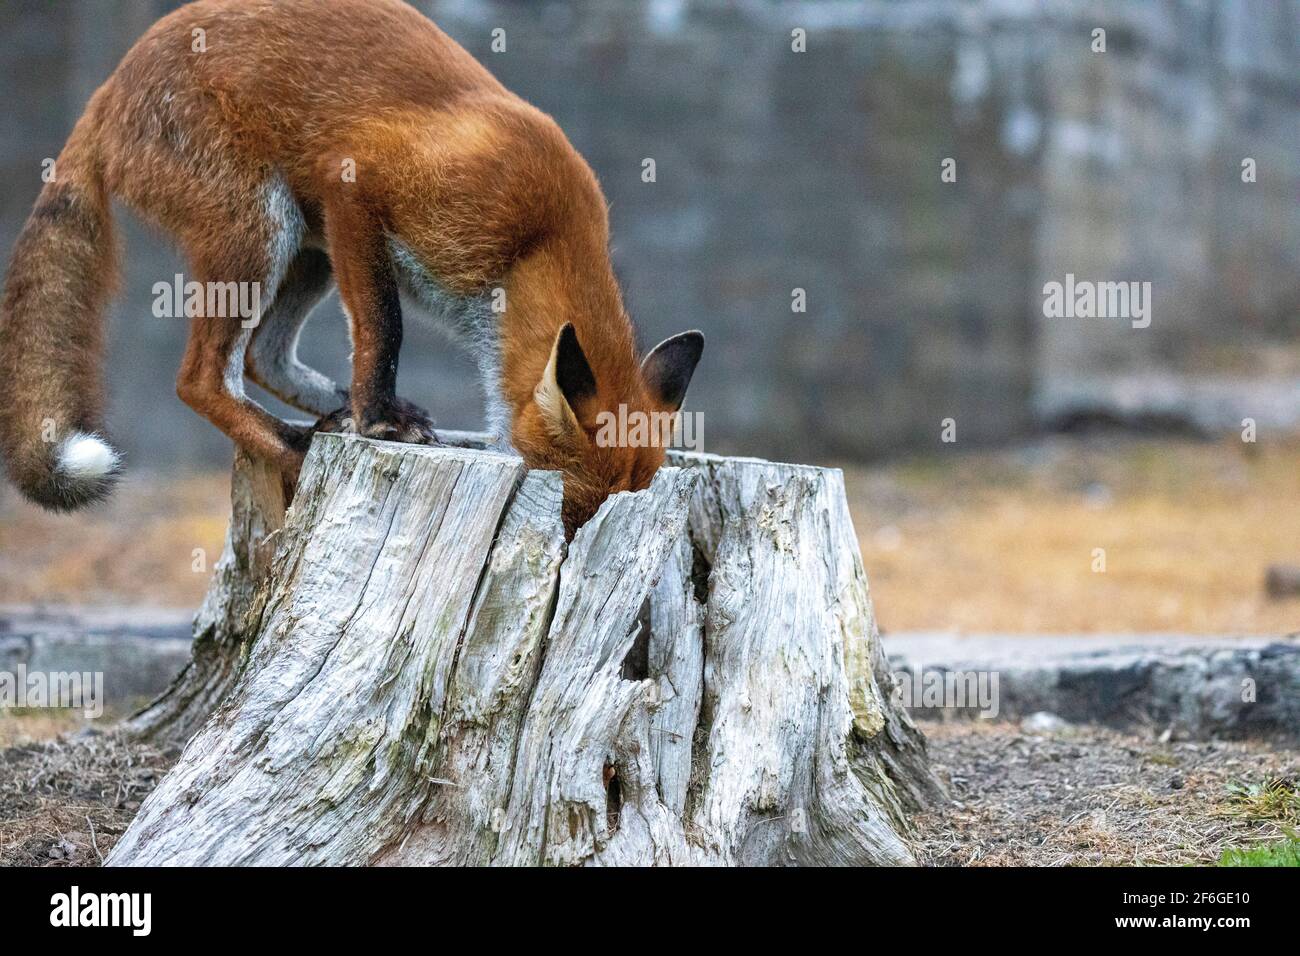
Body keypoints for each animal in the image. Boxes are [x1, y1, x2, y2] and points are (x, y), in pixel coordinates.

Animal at [0, 0, 703, 537]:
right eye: (565, 514)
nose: (569, 548)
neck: (537, 240)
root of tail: (108, 89)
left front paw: (377, 416)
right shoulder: (361, 186)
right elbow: (385, 325)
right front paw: (378, 419)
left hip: (309, 248)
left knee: (262, 356)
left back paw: (335, 416)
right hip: (261, 228)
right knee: (200, 380)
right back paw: (292, 444)